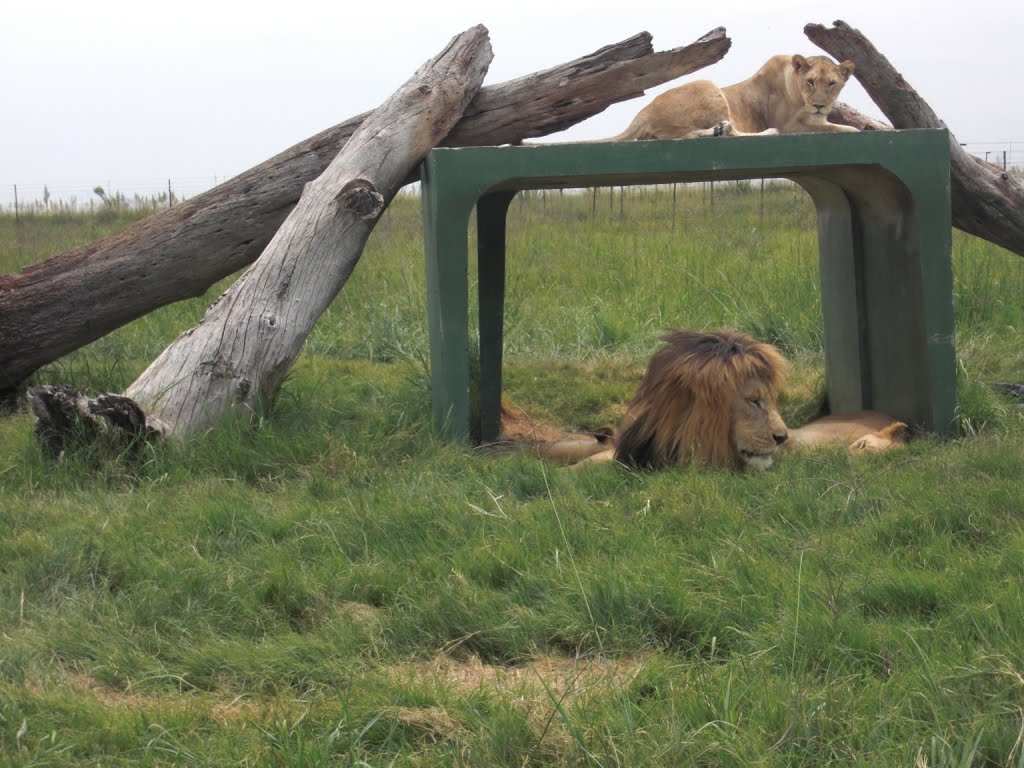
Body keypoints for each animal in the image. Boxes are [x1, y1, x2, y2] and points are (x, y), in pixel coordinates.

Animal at [613, 54, 858, 140]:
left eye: (832, 83)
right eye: (810, 81)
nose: (819, 105)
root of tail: (644, 112)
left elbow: (831, 124)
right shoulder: (788, 125)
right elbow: (839, 128)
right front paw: (854, 129)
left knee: (687, 134)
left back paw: (715, 131)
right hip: (708, 85)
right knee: (735, 132)